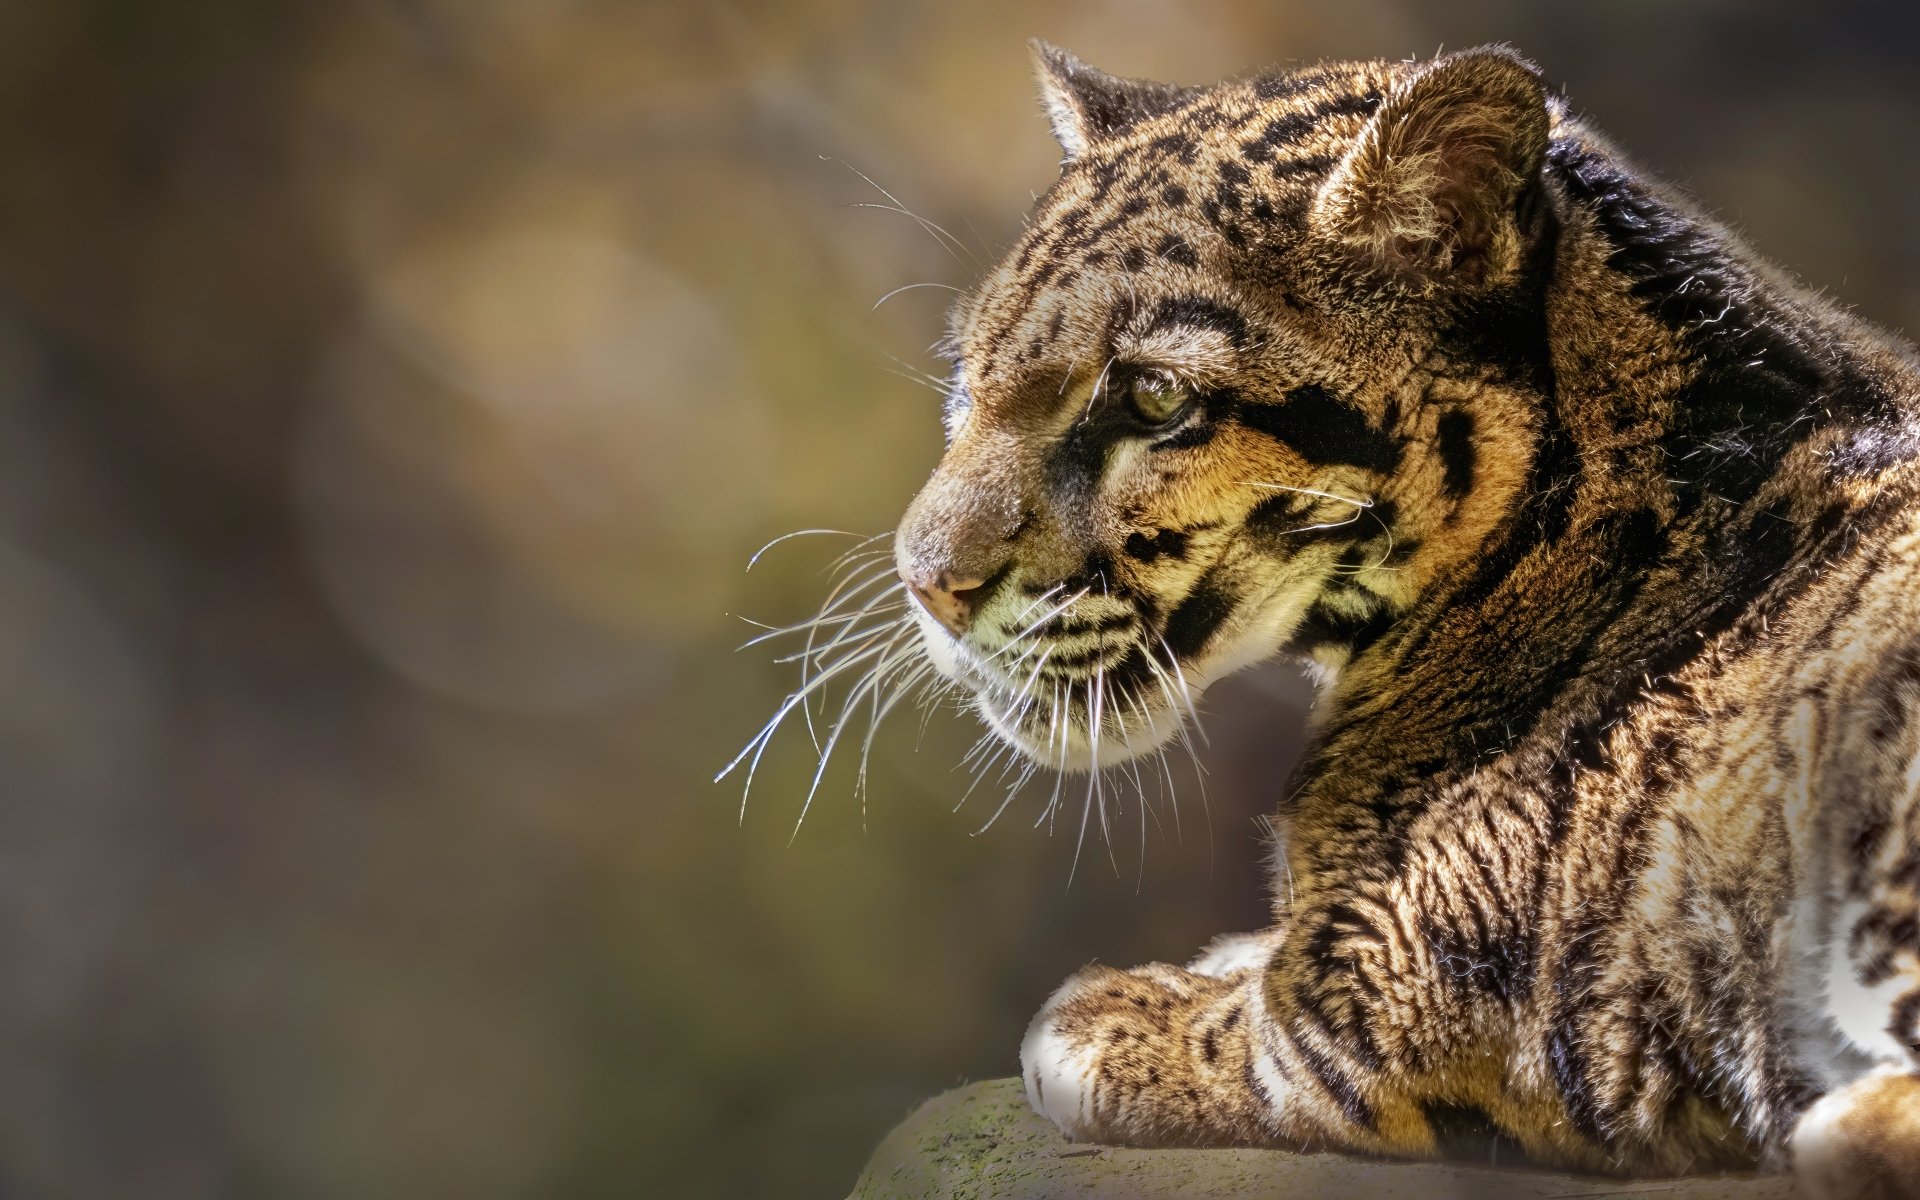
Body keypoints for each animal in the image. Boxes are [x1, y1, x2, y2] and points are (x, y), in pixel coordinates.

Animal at [851, 41, 1920, 1195]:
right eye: (969, 377)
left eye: (1151, 398)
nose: (925, 581)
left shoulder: (1416, 980)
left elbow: (1268, 1024)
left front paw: (1115, 1012)